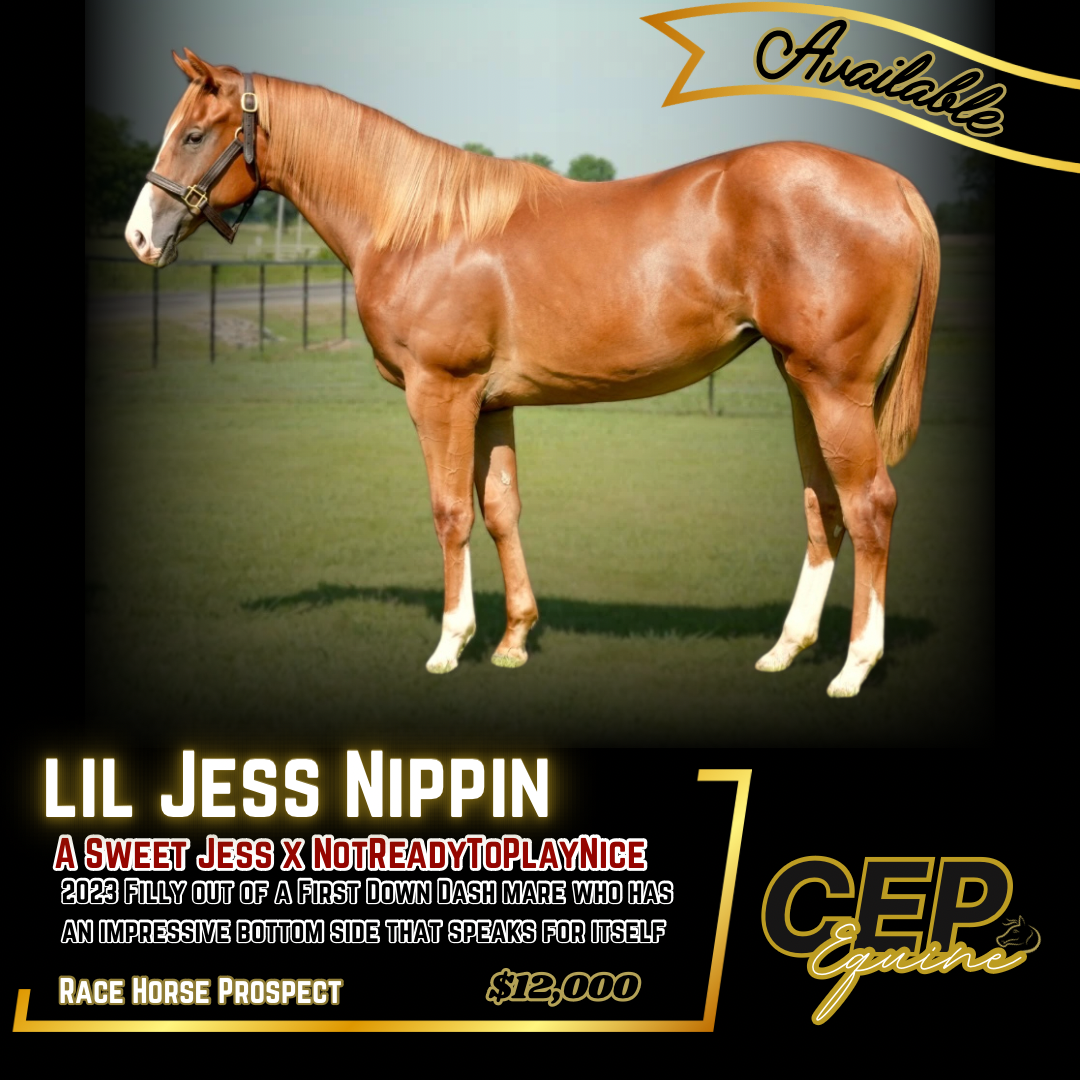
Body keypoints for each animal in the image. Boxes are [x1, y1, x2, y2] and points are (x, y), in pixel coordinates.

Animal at [125, 49, 939, 698]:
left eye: (194, 135)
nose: (139, 236)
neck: (420, 227)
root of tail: (894, 186)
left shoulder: (441, 394)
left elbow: (450, 512)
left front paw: (450, 644)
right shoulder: (490, 404)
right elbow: (500, 511)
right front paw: (515, 639)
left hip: (834, 389)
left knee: (871, 506)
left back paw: (854, 667)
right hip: (803, 383)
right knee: (824, 507)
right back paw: (785, 650)